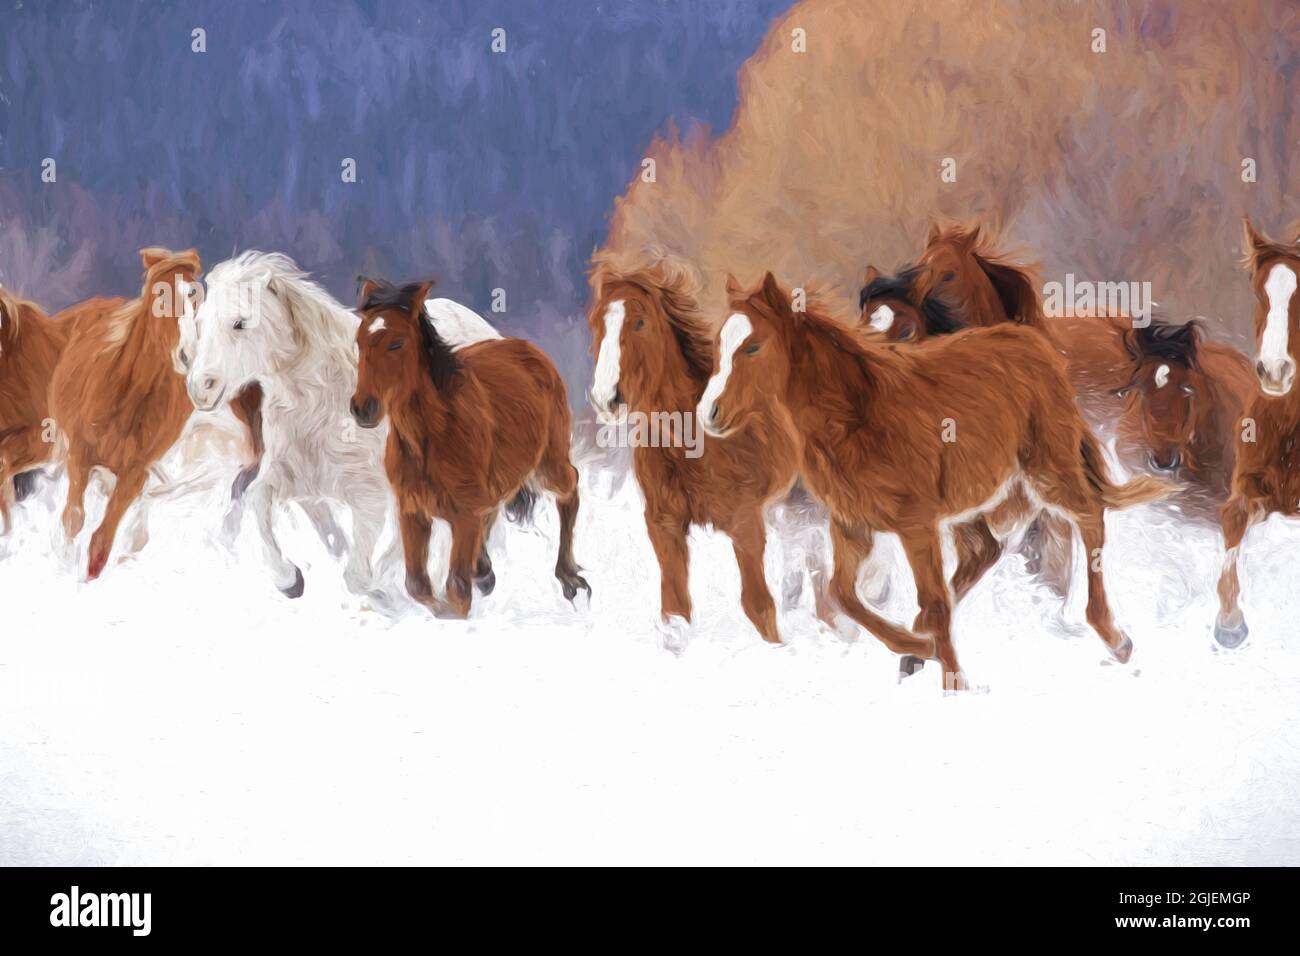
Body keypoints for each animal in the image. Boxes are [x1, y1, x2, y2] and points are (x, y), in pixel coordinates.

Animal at [47, 248, 201, 579]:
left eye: (195, 294)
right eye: (159, 295)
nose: (188, 357)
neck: (129, 396)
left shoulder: (135, 473)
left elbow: (101, 544)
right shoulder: (80, 454)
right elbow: (73, 519)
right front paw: (64, 566)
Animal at [351, 277, 588, 617]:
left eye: (396, 344)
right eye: (359, 342)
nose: (362, 409)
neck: (432, 438)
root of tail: (529, 350)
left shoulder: (464, 518)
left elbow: (457, 589)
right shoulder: (413, 512)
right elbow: (418, 585)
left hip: (548, 465)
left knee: (569, 487)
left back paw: (568, 576)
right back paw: (485, 571)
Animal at [588, 258, 830, 646]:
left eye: (639, 322)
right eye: (596, 321)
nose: (606, 399)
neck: (692, 445)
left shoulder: (746, 525)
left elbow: (759, 608)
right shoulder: (663, 525)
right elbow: (675, 611)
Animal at [702, 273, 1169, 688]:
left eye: (753, 346)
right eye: (719, 344)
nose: (710, 413)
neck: (858, 416)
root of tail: (1035, 345)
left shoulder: (916, 527)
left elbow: (931, 601)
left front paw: (952, 682)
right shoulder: (853, 526)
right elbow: (843, 594)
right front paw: (918, 648)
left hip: (1047, 470)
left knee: (1089, 517)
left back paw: (1116, 638)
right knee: (984, 551)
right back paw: (915, 653)